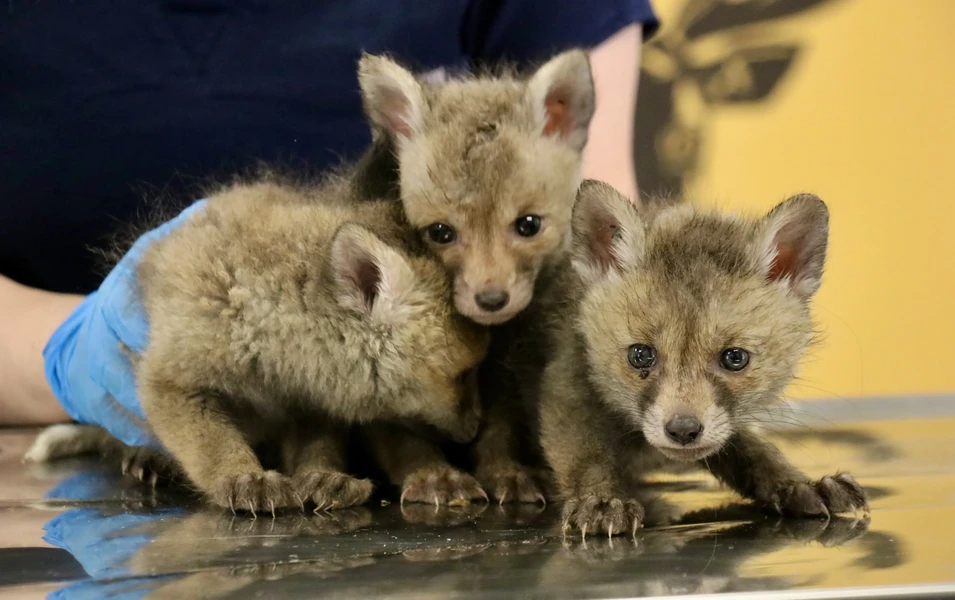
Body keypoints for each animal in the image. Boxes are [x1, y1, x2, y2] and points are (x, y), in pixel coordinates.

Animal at [26, 174, 490, 515]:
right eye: (463, 374)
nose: (476, 429)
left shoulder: (312, 405)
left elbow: (323, 449)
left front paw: (325, 478)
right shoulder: (172, 379)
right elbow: (211, 443)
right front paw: (244, 477)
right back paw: (147, 457)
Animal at [353, 49, 597, 505]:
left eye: (528, 225)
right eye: (440, 233)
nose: (491, 300)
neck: (495, 335)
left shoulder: (505, 371)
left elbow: (499, 431)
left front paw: (506, 472)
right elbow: (399, 436)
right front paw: (432, 474)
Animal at [521, 180, 868, 536]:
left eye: (734, 358)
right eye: (640, 355)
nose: (683, 430)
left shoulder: (725, 425)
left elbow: (754, 451)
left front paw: (797, 484)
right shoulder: (567, 382)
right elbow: (584, 454)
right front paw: (601, 499)